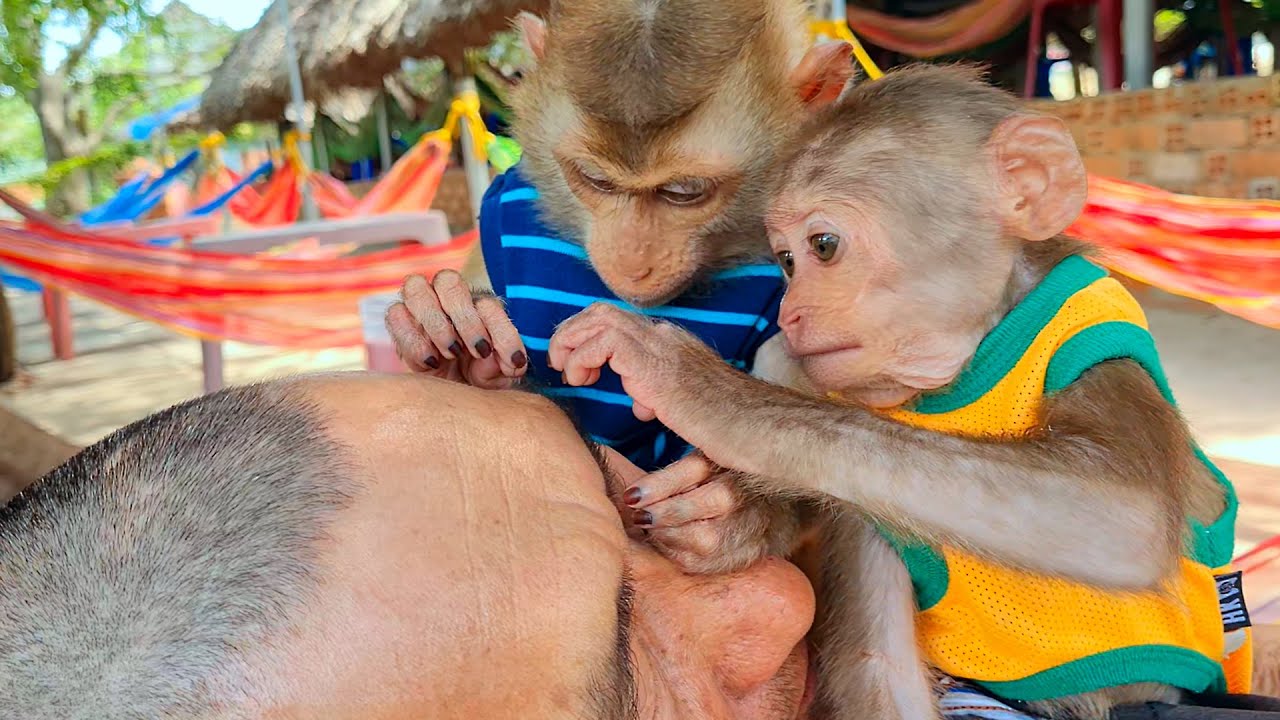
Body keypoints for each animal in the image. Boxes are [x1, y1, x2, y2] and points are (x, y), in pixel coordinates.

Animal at [544, 64, 1255, 720]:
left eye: (823, 246)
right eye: (785, 262)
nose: (792, 314)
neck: (957, 374)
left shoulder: (1095, 331)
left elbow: (1123, 513)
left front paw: (692, 382)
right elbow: (876, 663)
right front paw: (732, 516)